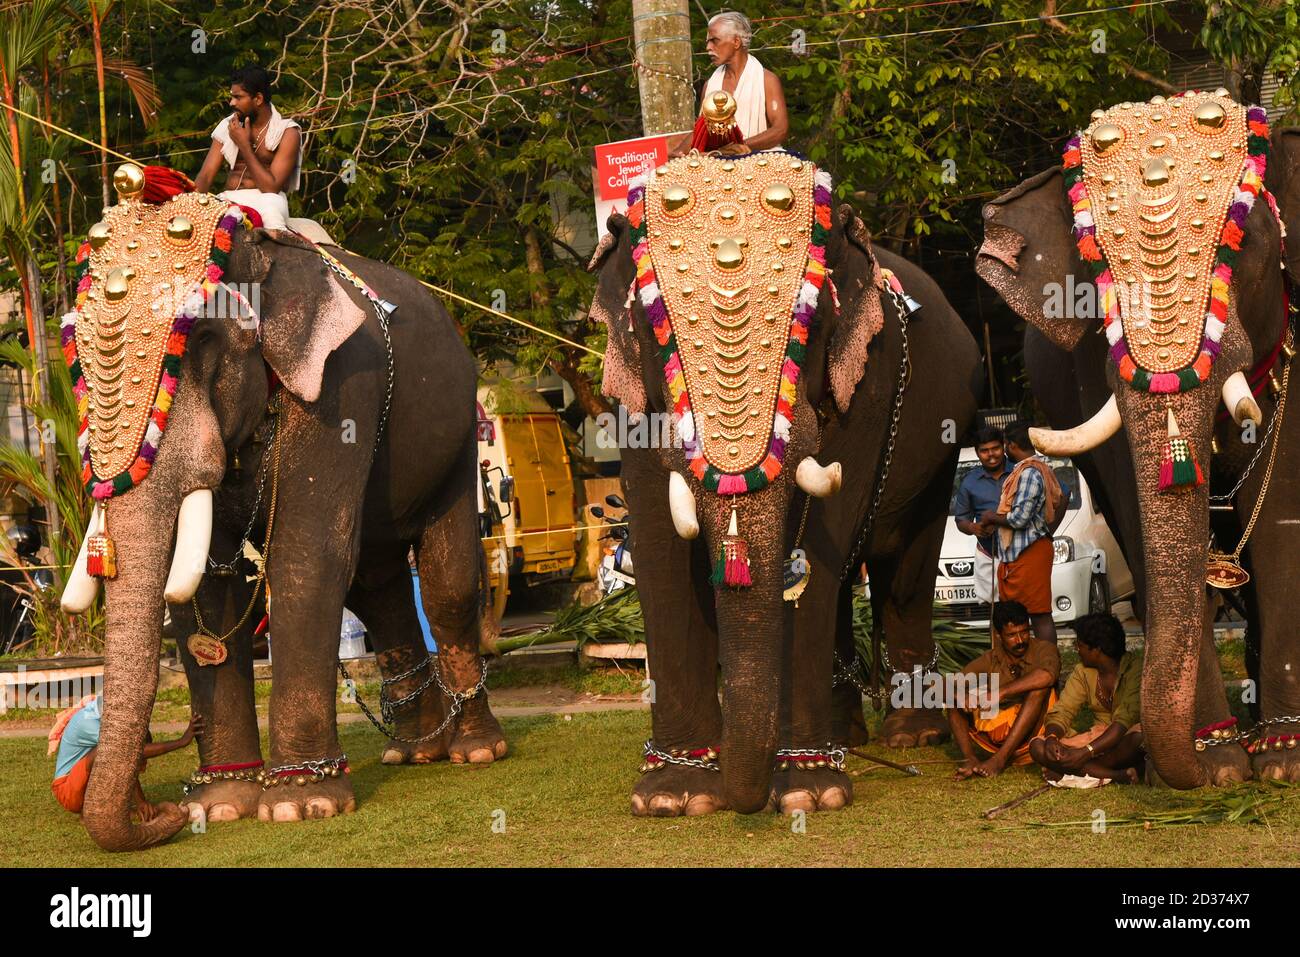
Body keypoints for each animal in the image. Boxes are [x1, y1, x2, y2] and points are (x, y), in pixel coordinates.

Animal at [61, 173, 506, 850]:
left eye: (202, 340)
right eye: (76, 365)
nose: (162, 813)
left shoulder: (343, 382)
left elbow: (306, 554)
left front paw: (301, 803)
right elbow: (207, 584)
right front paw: (219, 805)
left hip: (459, 429)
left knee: (446, 584)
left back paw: (475, 750)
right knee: (377, 583)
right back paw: (412, 751)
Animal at [587, 152, 981, 816]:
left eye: (812, 322)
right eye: (655, 329)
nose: (739, 794)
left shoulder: (868, 377)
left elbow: (818, 551)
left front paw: (805, 793)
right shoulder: (629, 395)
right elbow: (658, 546)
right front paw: (670, 797)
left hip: (945, 448)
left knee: (904, 566)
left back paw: (909, 736)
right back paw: (846, 735)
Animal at [977, 94, 1300, 789]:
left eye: (1247, 250)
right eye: (1094, 268)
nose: (1204, 766)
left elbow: (1281, 516)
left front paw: (1282, 765)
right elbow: (1134, 506)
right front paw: (1220, 765)